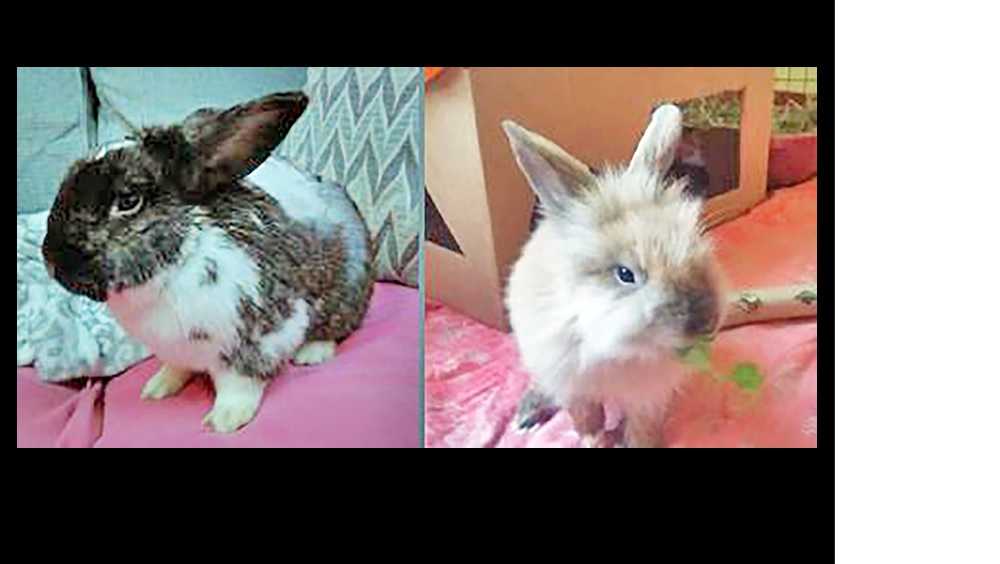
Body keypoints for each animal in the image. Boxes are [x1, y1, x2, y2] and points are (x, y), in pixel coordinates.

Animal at [42, 92, 375, 433]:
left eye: (128, 201)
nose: (51, 261)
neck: (174, 267)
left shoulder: (262, 339)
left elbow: (240, 385)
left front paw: (224, 420)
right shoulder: (176, 350)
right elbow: (176, 368)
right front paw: (157, 387)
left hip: (345, 293)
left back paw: (312, 353)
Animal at [502, 104, 726, 448]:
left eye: (696, 247)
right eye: (625, 274)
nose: (706, 323)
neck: (624, 351)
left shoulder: (649, 396)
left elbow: (642, 427)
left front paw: (642, 444)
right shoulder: (575, 387)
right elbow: (588, 421)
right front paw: (594, 442)